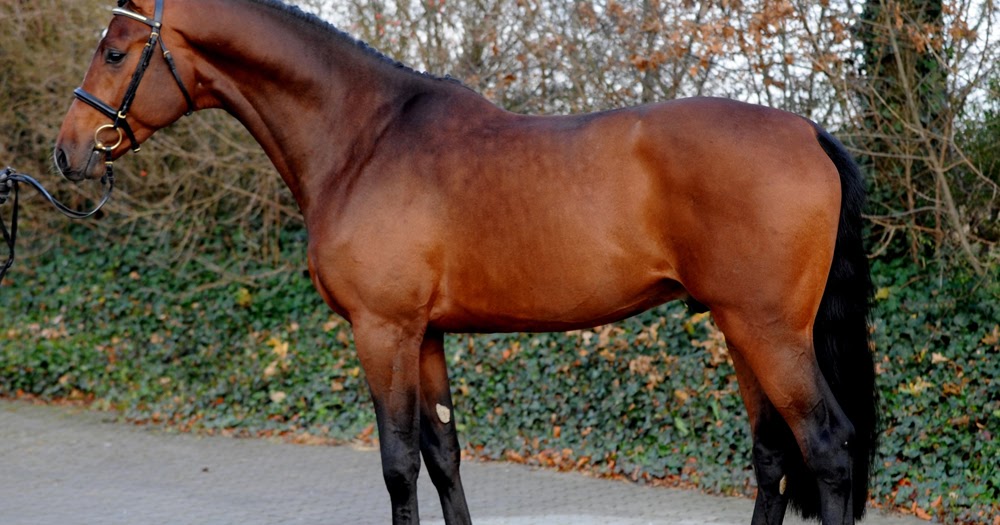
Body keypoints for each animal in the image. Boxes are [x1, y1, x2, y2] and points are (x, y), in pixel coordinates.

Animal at [53, 1, 879, 524]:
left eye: (116, 50)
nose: (67, 152)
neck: (366, 138)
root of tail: (809, 132)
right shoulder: (424, 335)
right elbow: (444, 453)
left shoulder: (381, 330)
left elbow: (397, 462)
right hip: (741, 330)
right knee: (772, 456)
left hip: (770, 332)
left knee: (828, 448)